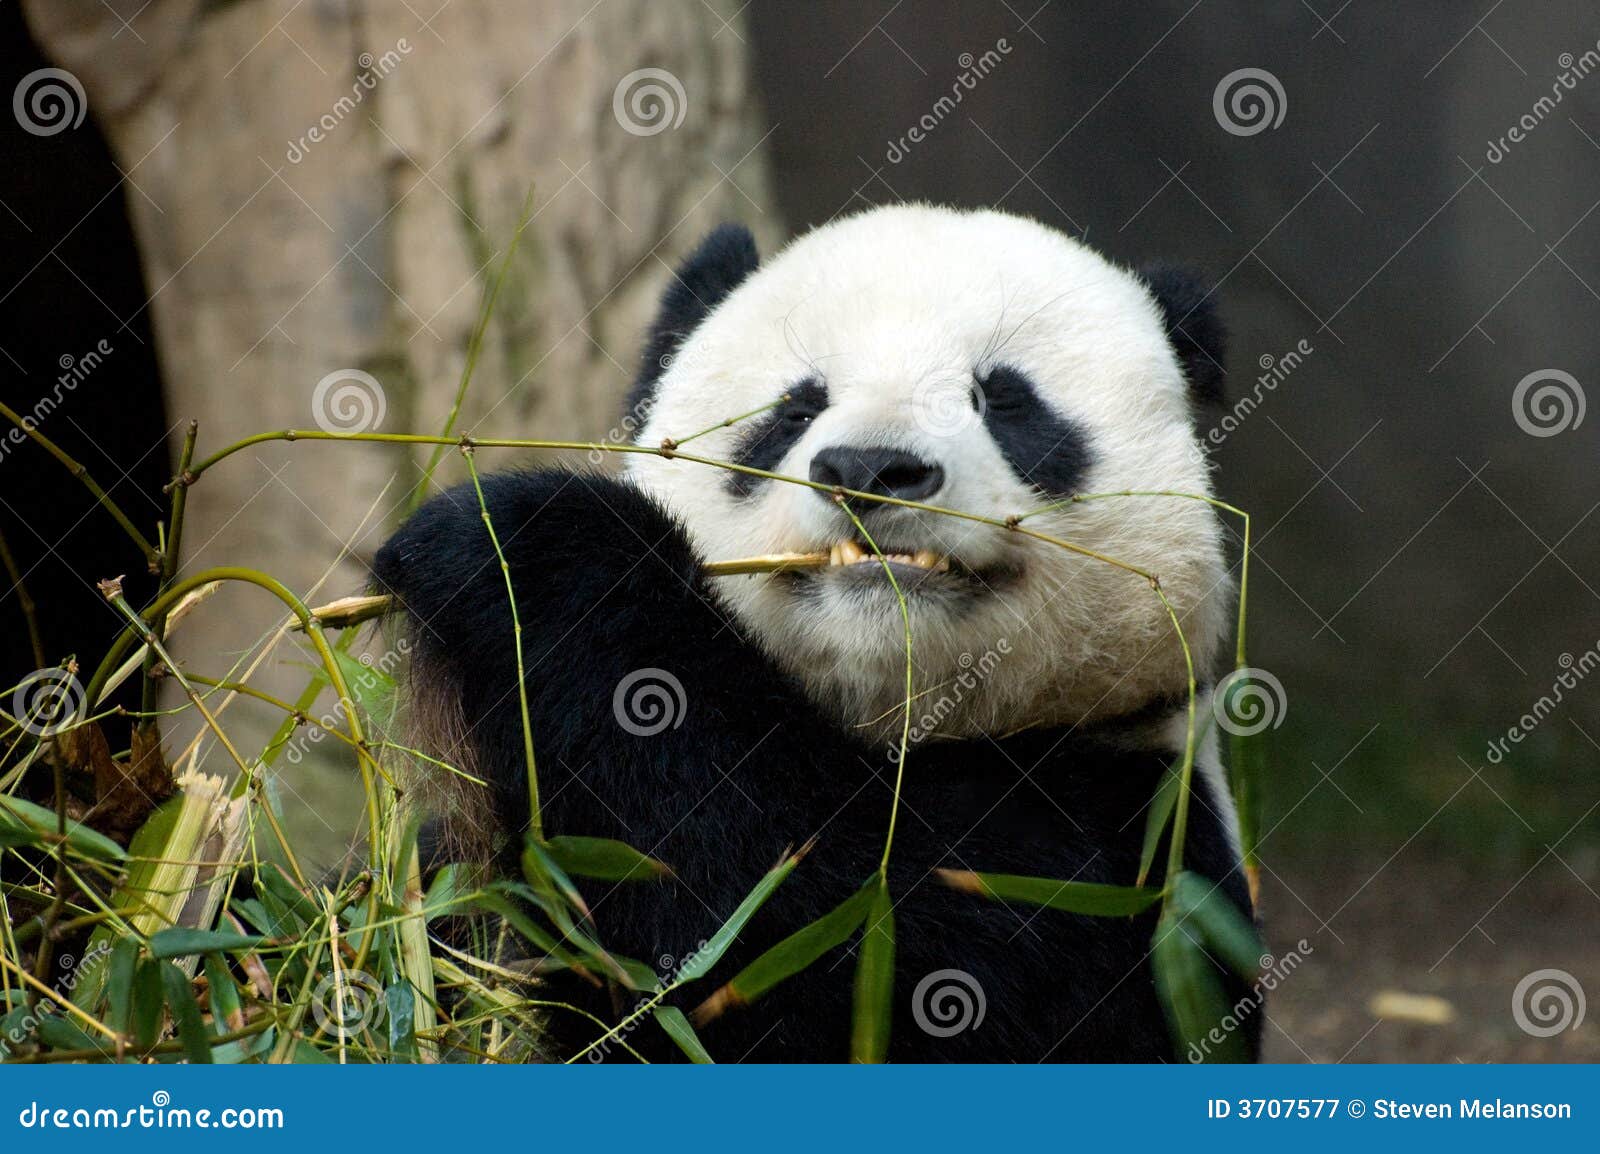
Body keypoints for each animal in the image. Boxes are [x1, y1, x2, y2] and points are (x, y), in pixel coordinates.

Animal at [373, 204, 1260, 1063]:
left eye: (1003, 400)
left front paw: (525, 538)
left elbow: (812, 939)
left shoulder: (1137, 852)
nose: (871, 469)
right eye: (796, 408)